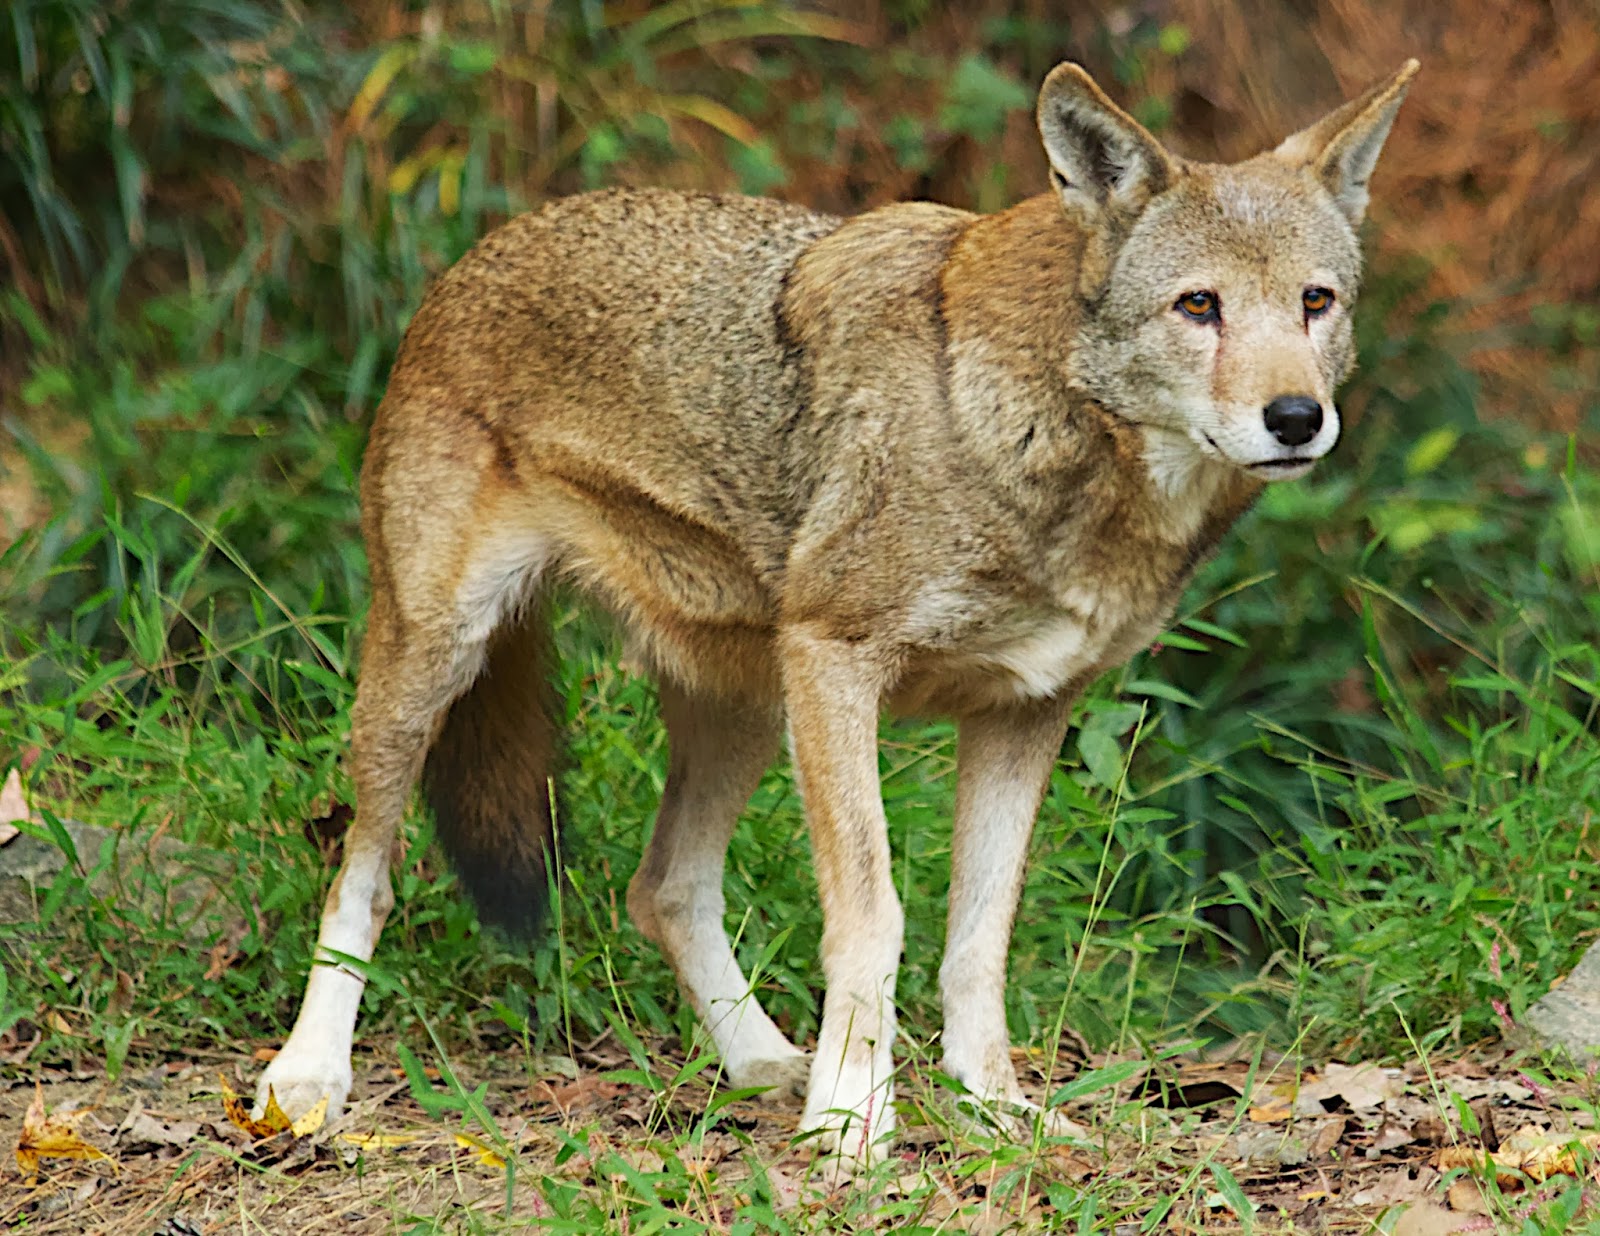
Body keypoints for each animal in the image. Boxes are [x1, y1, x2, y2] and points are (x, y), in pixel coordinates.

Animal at [255, 58, 1417, 1165]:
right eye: (1198, 306)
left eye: (1315, 302)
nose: (1296, 418)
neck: (1040, 447)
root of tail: (474, 253)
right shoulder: (838, 660)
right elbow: (873, 919)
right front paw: (853, 1124)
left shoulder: (1023, 712)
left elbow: (978, 941)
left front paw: (994, 1111)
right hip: (436, 666)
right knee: (362, 873)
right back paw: (306, 1080)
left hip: (745, 708)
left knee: (663, 887)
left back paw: (760, 1061)